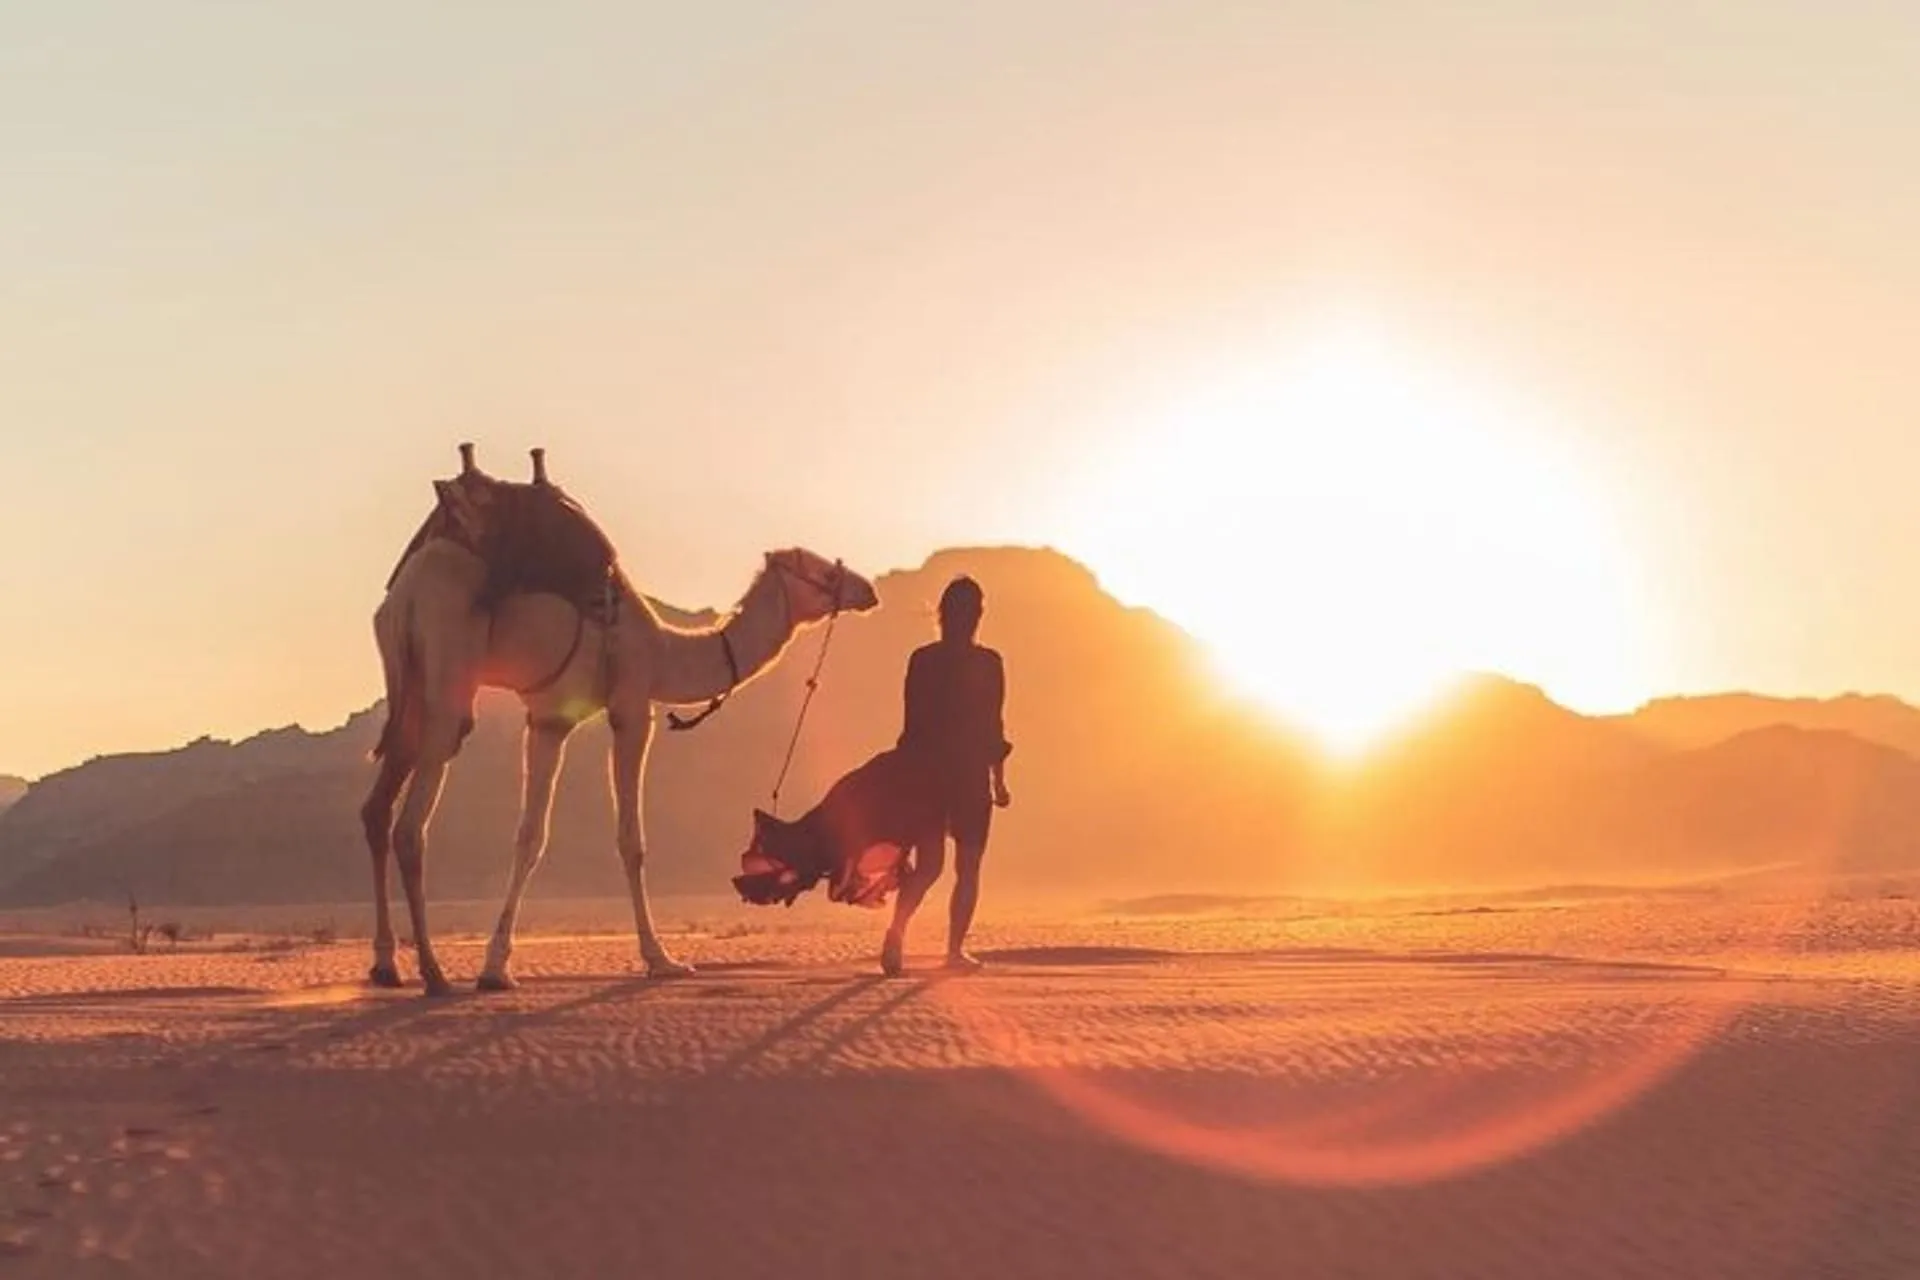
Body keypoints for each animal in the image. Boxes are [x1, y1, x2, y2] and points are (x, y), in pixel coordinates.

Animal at [361, 445, 880, 996]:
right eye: (823, 571)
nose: (866, 588)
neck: (663, 651)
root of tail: (406, 592)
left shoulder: (549, 721)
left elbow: (529, 837)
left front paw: (495, 967)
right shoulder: (632, 707)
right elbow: (631, 841)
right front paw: (662, 960)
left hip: (406, 682)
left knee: (376, 810)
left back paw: (386, 964)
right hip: (447, 669)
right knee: (411, 824)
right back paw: (434, 973)